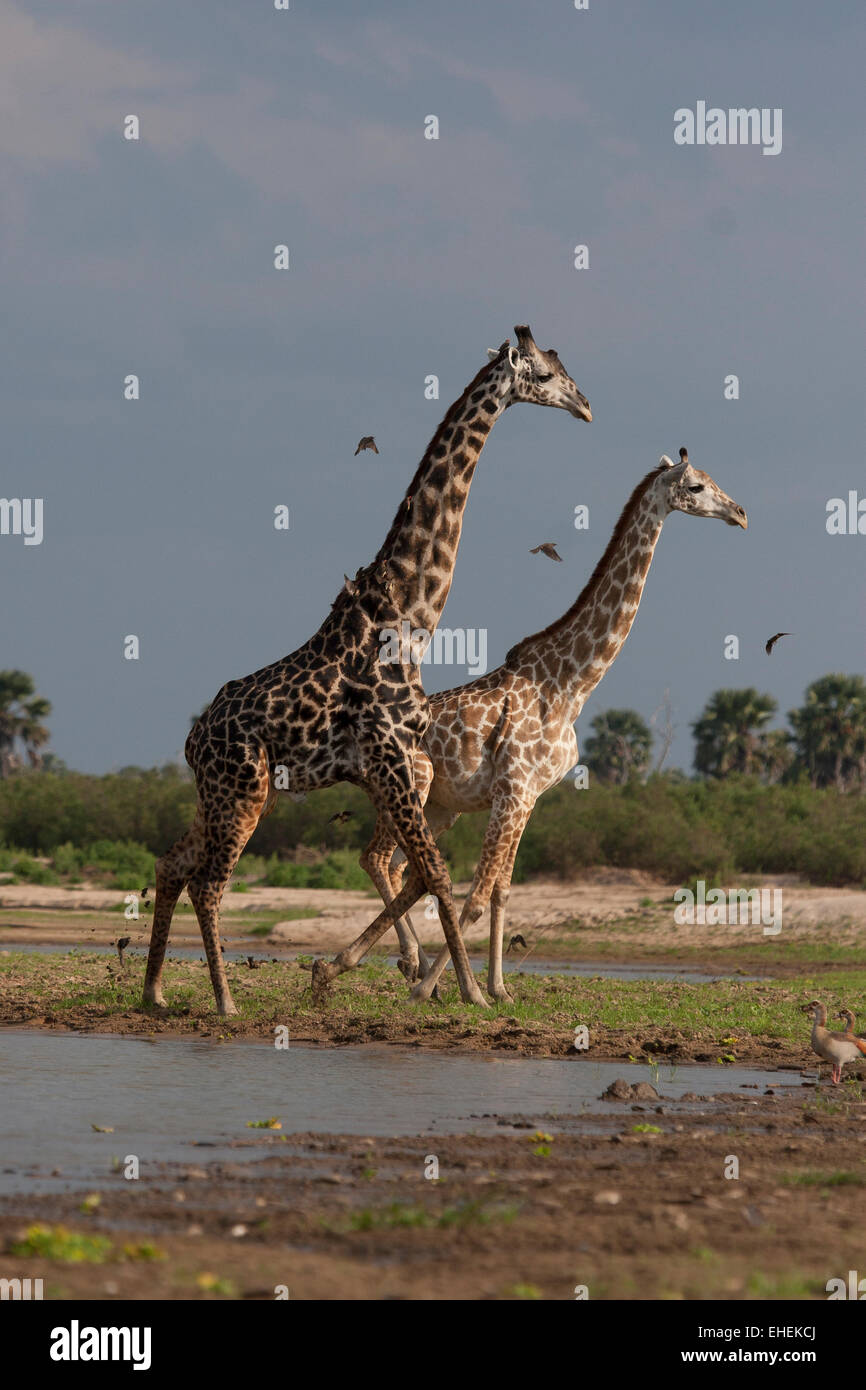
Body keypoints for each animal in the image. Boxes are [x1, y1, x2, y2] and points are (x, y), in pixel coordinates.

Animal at [142, 326, 592, 1016]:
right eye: (543, 375)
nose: (585, 405)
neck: (410, 614)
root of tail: (194, 740)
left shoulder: (397, 759)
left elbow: (425, 870)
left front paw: (433, 980)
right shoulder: (388, 754)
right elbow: (434, 871)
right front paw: (466, 991)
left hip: (220, 794)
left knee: (172, 865)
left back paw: (156, 993)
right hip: (243, 787)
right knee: (209, 883)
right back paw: (223, 1000)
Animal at [351, 450, 747, 1000]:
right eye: (695, 487)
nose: (740, 514)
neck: (569, 685)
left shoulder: (530, 796)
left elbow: (501, 891)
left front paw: (497, 989)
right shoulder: (513, 790)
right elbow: (478, 894)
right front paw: (448, 989)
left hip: (442, 807)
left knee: (401, 867)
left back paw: (408, 961)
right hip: (416, 784)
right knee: (382, 859)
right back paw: (405, 965)